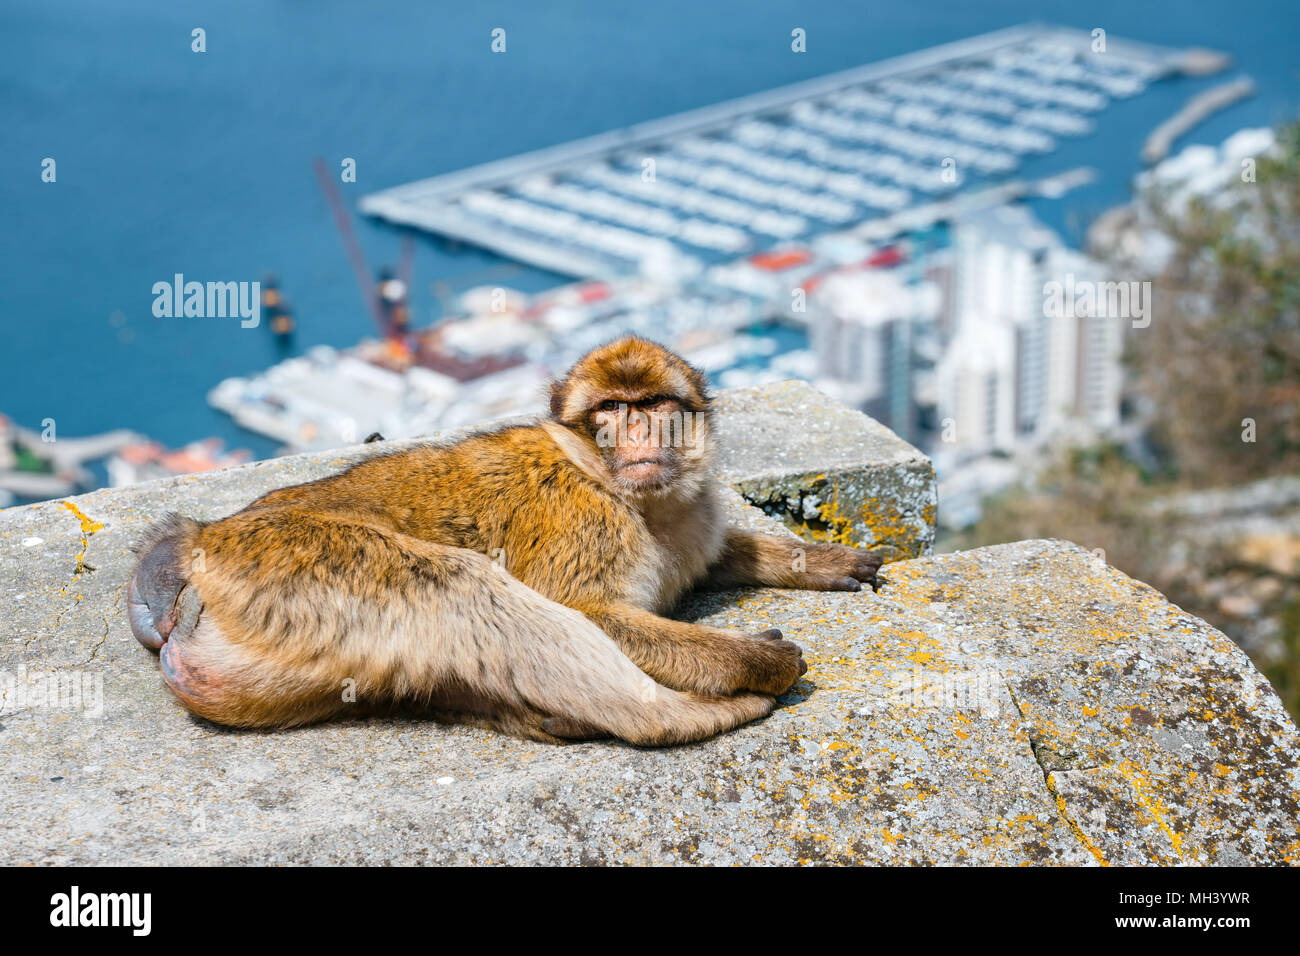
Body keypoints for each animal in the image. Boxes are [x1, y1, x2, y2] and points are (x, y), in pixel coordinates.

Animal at [127, 337, 882, 745]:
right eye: (613, 409)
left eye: (656, 406)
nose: (641, 431)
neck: (626, 495)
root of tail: (205, 539)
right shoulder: (582, 521)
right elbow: (587, 612)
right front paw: (758, 662)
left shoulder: (692, 515)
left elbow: (714, 555)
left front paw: (822, 559)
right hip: (290, 558)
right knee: (466, 589)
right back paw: (678, 715)